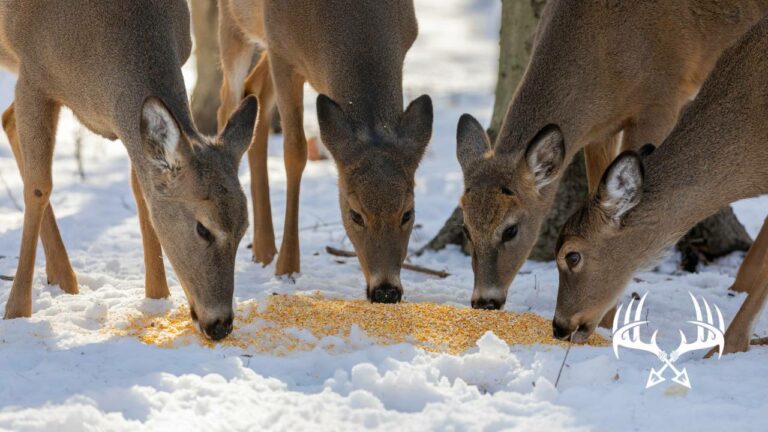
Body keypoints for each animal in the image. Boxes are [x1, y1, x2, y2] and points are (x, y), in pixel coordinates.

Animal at [0, 0, 258, 341]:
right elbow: (39, 186)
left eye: (244, 229)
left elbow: (142, 191)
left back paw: (64, 276)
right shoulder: (32, 73)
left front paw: (157, 297)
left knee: (7, 118)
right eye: (203, 228)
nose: (221, 325)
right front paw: (17, 311)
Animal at [217, 0, 433, 303]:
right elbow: (295, 151)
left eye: (408, 213)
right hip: (234, 23)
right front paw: (287, 268)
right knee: (228, 102)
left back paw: (263, 250)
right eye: (355, 214)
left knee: (254, 94)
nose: (386, 291)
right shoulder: (281, 50)